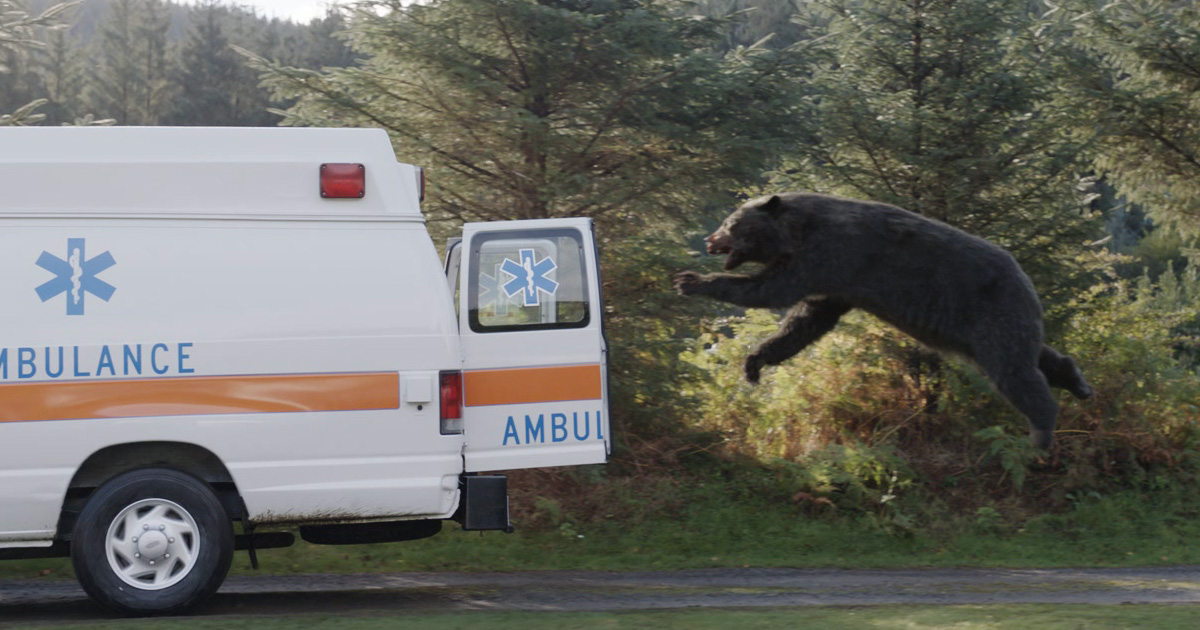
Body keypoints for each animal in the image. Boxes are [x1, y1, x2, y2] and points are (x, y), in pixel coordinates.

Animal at [673, 193, 1093, 449]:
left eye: (731, 223)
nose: (710, 240)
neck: (798, 232)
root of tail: (1026, 280)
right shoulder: (834, 285)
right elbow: (805, 321)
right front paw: (754, 362)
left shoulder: (830, 254)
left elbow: (770, 290)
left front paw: (691, 281)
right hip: (982, 329)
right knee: (1034, 356)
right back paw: (1078, 381)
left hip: (988, 311)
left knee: (1015, 373)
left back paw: (1040, 433)